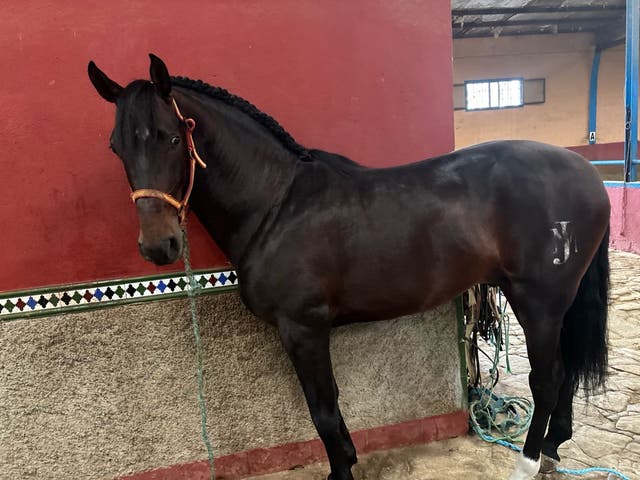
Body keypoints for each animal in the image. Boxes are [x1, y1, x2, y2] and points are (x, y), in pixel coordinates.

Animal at [88, 54, 610, 480]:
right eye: (116, 146)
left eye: (173, 137)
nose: (159, 246)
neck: (276, 203)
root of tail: (586, 174)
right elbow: (331, 406)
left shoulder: (303, 328)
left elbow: (322, 408)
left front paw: (341, 471)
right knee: (563, 372)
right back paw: (552, 449)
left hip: (538, 302)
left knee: (547, 378)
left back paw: (528, 462)